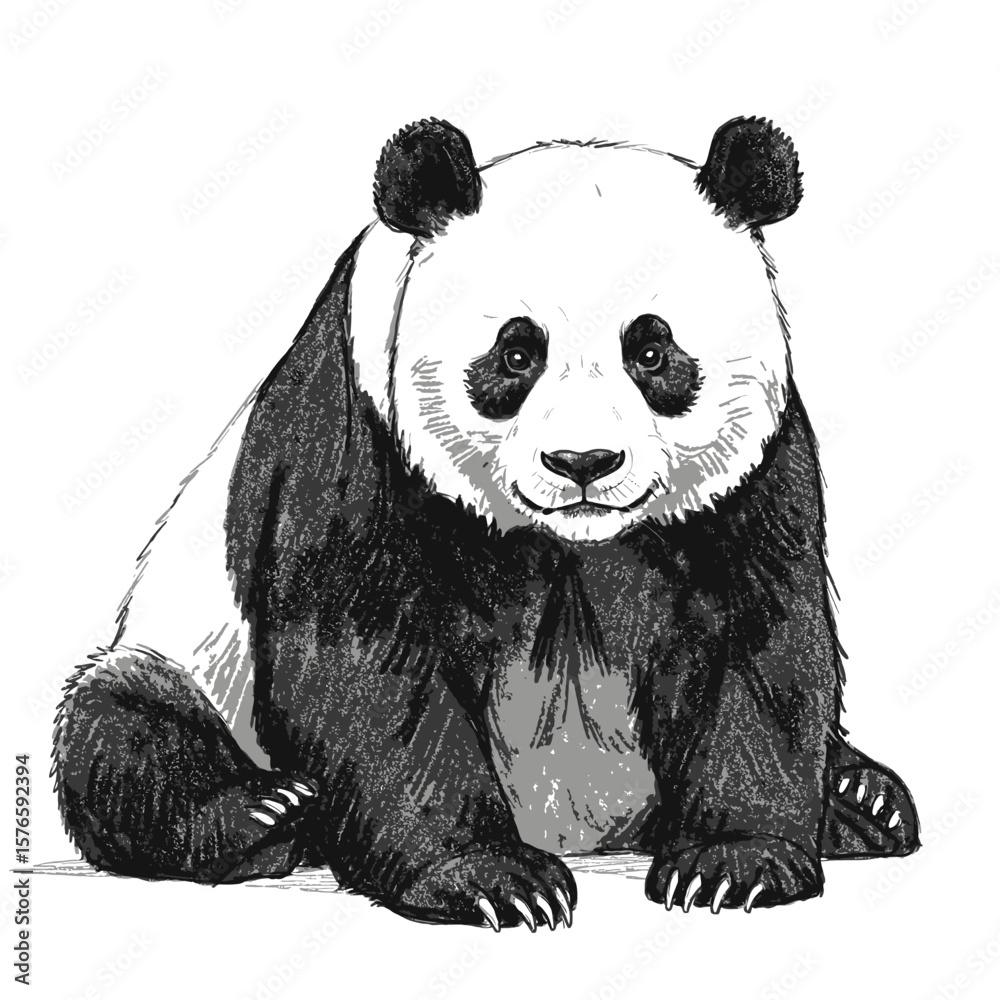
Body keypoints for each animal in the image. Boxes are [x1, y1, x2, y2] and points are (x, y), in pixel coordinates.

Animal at [52, 116, 919, 929]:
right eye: (515, 355)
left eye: (652, 352)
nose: (582, 462)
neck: (574, 543)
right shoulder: (359, 436)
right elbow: (366, 659)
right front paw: (489, 879)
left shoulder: (754, 472)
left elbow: (757, 641)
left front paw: (732, 865)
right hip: (189, 658)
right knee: (123, 727)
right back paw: (261, 815)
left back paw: (861, 798)